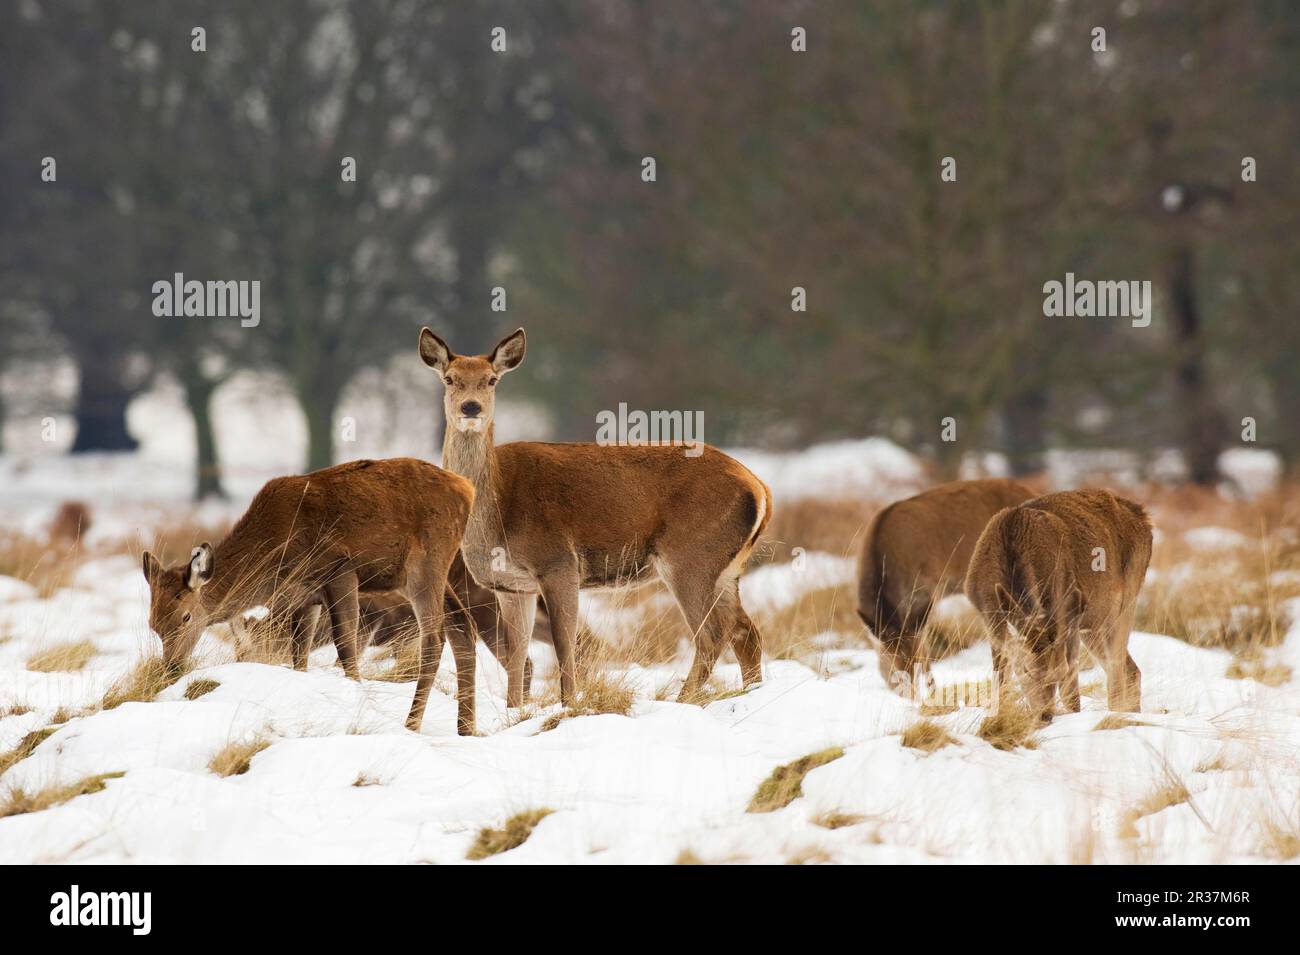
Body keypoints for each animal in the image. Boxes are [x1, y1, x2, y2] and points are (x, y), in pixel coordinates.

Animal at [141, 457, 478, 734]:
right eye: (153, 624)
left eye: (186, 616)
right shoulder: (304, 596)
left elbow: (346, 646)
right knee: (463, 627)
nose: (171, 667)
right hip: (437, 573)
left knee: (434, 637)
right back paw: (466, 727)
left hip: (427, 563)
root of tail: (468, 489)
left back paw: (412, 724)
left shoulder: (339, 569)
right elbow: (299, 655)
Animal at [417, 326, 773, 708]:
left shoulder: (559, 563)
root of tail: (760, 487)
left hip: (691, 557)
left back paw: (683, 701)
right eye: (450, 379)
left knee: (712, 634)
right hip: (726, 569)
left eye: (491, 380)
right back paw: (749, 693)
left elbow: (565, 646)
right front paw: (515, 711)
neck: (495, 515)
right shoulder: (511, 585)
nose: (471, 407)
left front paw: (568, 704)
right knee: (746, 633)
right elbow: (517, 654)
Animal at [856, 478, 1035, 691]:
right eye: (892, 669)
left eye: (913, 668)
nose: (909, 693)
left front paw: (932, 690)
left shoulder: (925, 592)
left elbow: (925, 649)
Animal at [964, 488, 1152, 722]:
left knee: (1117, 670)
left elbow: (1071, 692)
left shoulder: (1069, 611)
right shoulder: (989, 618)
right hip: (1094, 624)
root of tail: (1145, 518)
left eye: (1056, 672)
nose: (1045, 716)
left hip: (1128, 597)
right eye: (1025, 670)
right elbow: (1001, 679)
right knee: (1130, 669)